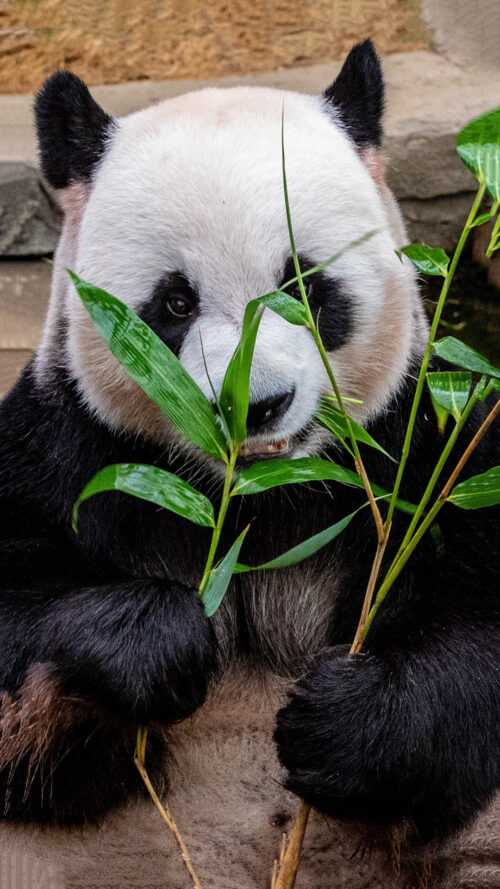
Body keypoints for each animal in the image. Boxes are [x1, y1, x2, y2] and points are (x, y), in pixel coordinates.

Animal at [0, 38, 499, 889]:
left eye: (303, 283)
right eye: (174, 302)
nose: (256, 406)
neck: (261, 495)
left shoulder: (426, 443)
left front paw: (342, 721)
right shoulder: (66, 447)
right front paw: (157, 640)